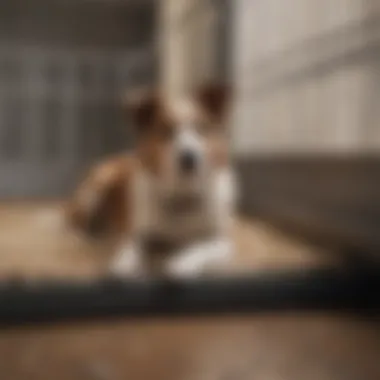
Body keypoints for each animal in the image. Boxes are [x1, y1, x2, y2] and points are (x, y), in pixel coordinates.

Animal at [67, 83, 236, 278]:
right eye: (166, 131)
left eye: (201, 128)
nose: (188, 158)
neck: (182, 195)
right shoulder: (135, 232)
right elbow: (128, 249)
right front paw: (121, 266)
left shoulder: (221, 242)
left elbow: (196, 250)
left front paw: (179, 266)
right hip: (97, 185)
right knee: (73, 219)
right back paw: (78, 237)